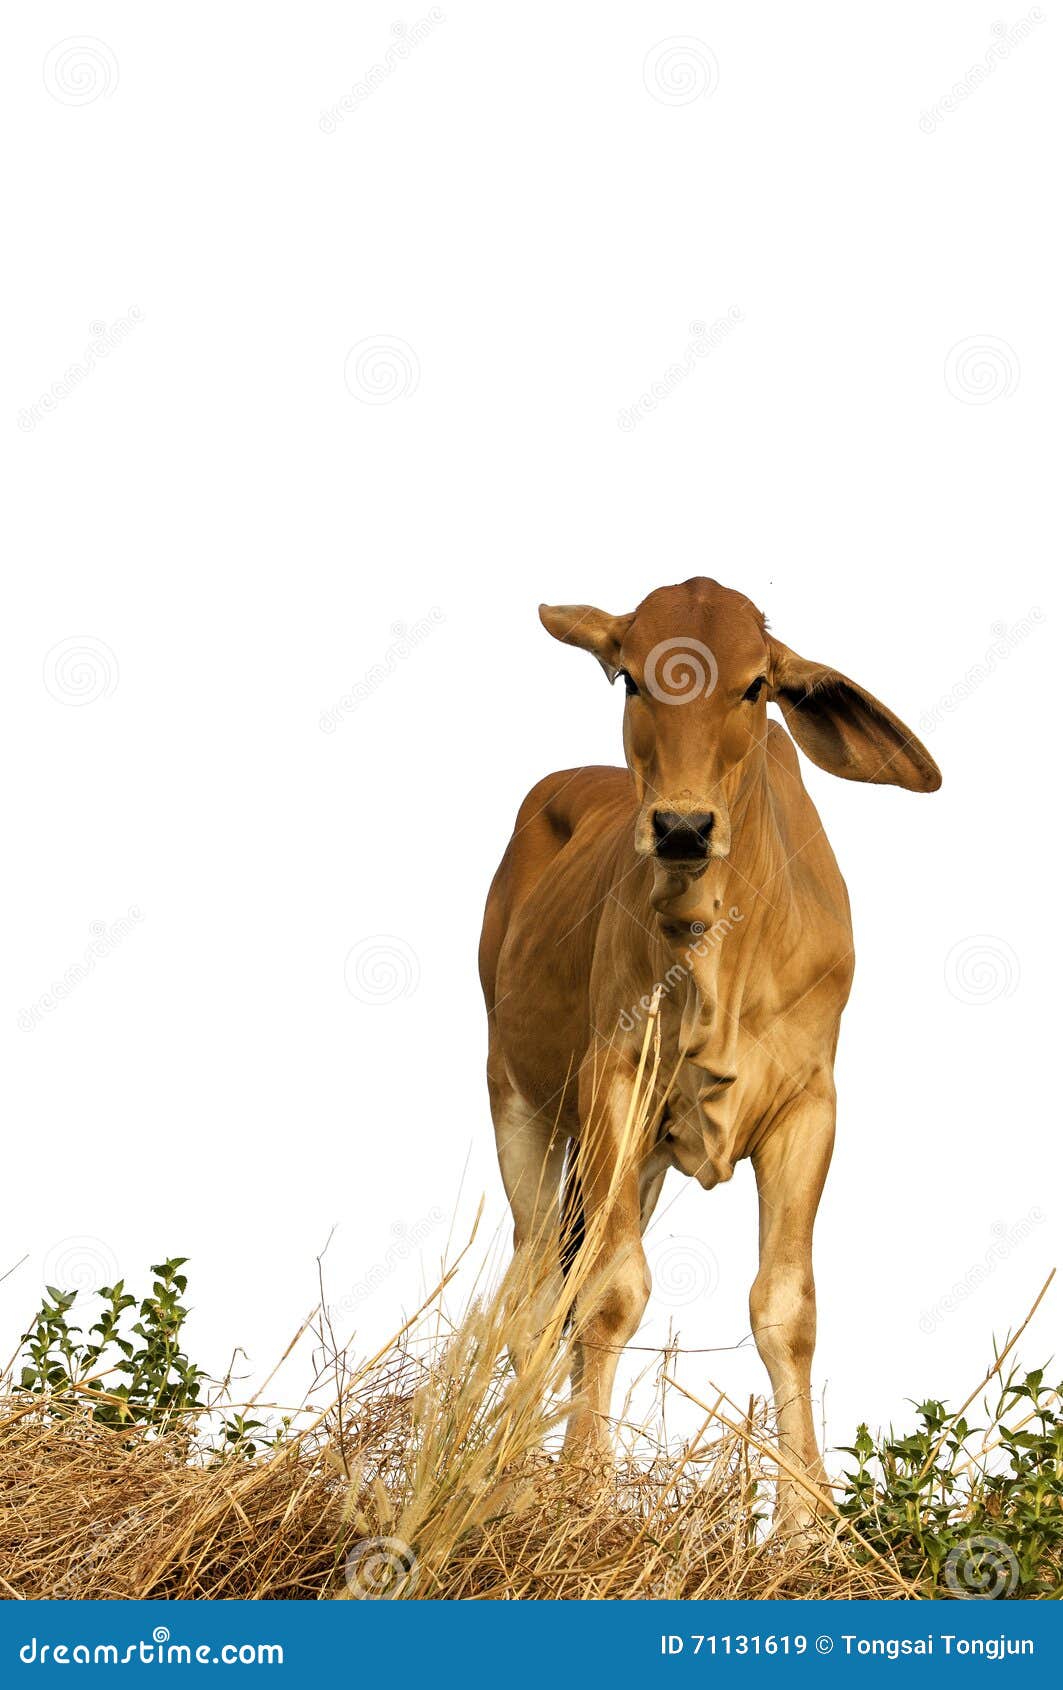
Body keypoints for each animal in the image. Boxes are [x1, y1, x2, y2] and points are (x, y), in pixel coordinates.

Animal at [478, 577, 941, 1528]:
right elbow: (610, 1293)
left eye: (756, 683)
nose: (683, 826)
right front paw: (585, 1488)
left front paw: (803, 1523)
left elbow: (786, 1307)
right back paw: (511, 1484)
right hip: (519, 1104)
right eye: (629, 676)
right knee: (536, 1287)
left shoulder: (808, 1107)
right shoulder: (611, 1084)